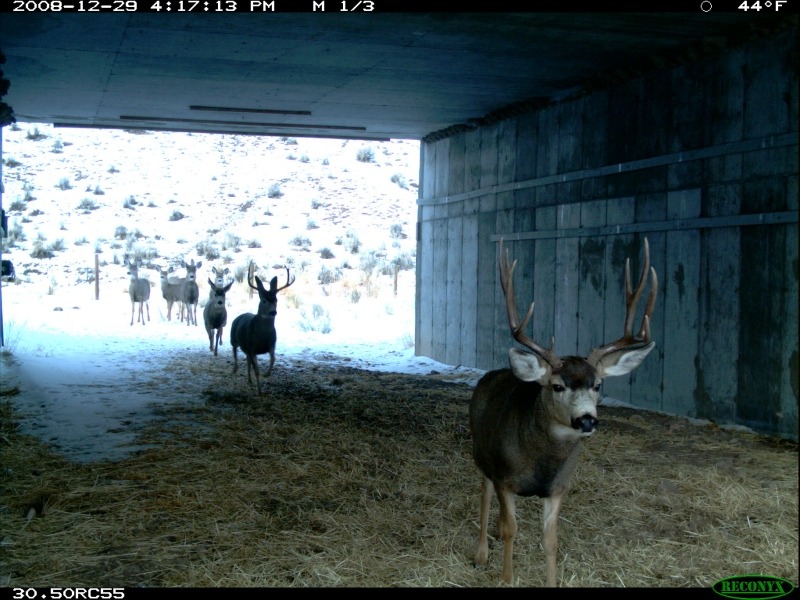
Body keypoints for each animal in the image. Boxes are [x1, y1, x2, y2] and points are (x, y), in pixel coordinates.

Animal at [230, 265, 295, 396]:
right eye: (264, 300)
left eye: (276, 300)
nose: (273, 312)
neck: (262, 337)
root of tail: (239, 316)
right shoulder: (251, 347)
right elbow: (257, 371)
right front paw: (260, 392)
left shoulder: (270, 345)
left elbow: (273, 359)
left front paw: (267, 374)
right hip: (233, 337)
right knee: (234, 352)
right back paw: (235, 369)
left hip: (246, 348)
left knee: (247, 361)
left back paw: (249, 380)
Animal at [469, 237, 658, 587]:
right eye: (557, 385)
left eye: (598, 384)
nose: (586, 419)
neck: (541, 463)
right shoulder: (505, 478)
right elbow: (510, 529)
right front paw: (506, 577)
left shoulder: (558, 487)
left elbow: (551, 540)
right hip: (482, 454)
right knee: (484, 495)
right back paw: (480, 554)